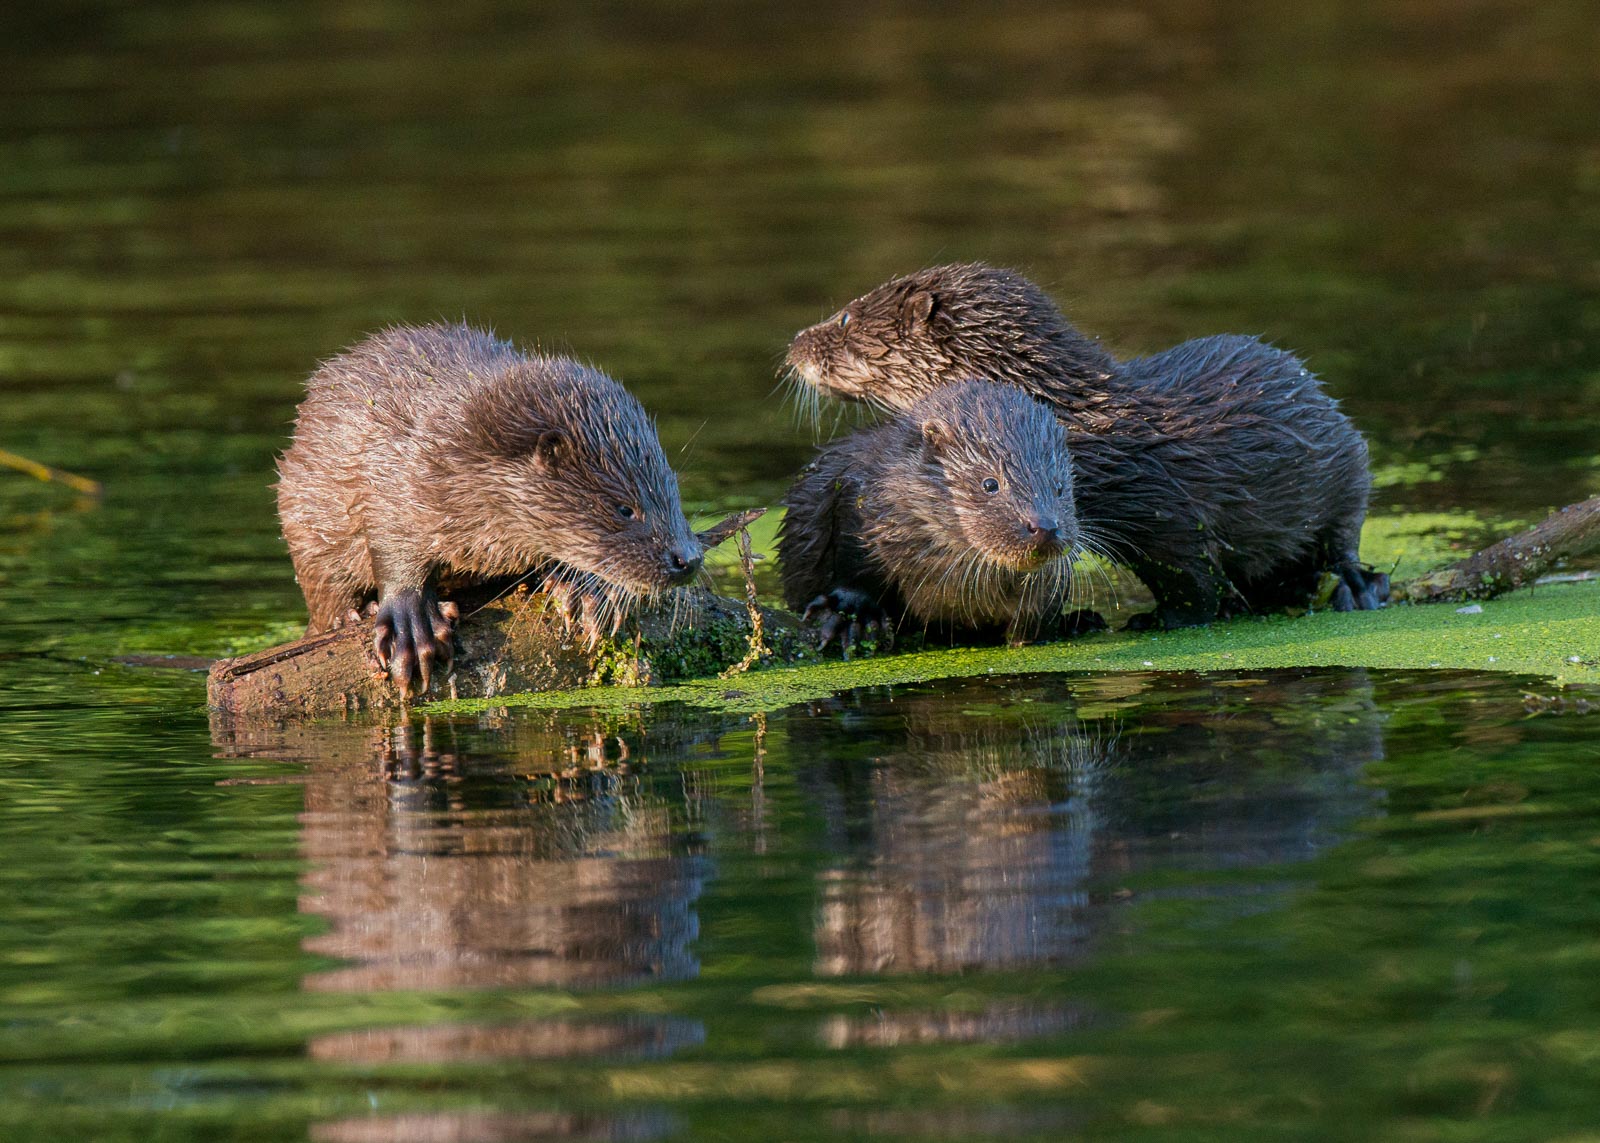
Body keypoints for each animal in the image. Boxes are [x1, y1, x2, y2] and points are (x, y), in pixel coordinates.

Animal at [276, 323, 703, 696]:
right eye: (624, 509)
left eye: (674, 490)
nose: (690, 558)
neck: (455, 455)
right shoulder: (394, 478)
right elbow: (390, 543)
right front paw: (409, 626)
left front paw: (589, 587)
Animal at [779, 380, 1088, 651]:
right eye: (990, 484)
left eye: (1059, 487)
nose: (1044, 526)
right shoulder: (857, 505)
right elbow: (854, 564)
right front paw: (852, 615)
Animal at [786, 263, 1386, 626]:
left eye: (844, 315)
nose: (794, 344)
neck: (1090, 428)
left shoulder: (1168, 512)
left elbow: (1193, 581)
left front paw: (1156, 619)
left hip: (1349, 466)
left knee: (1344, 538)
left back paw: (1358, 588)